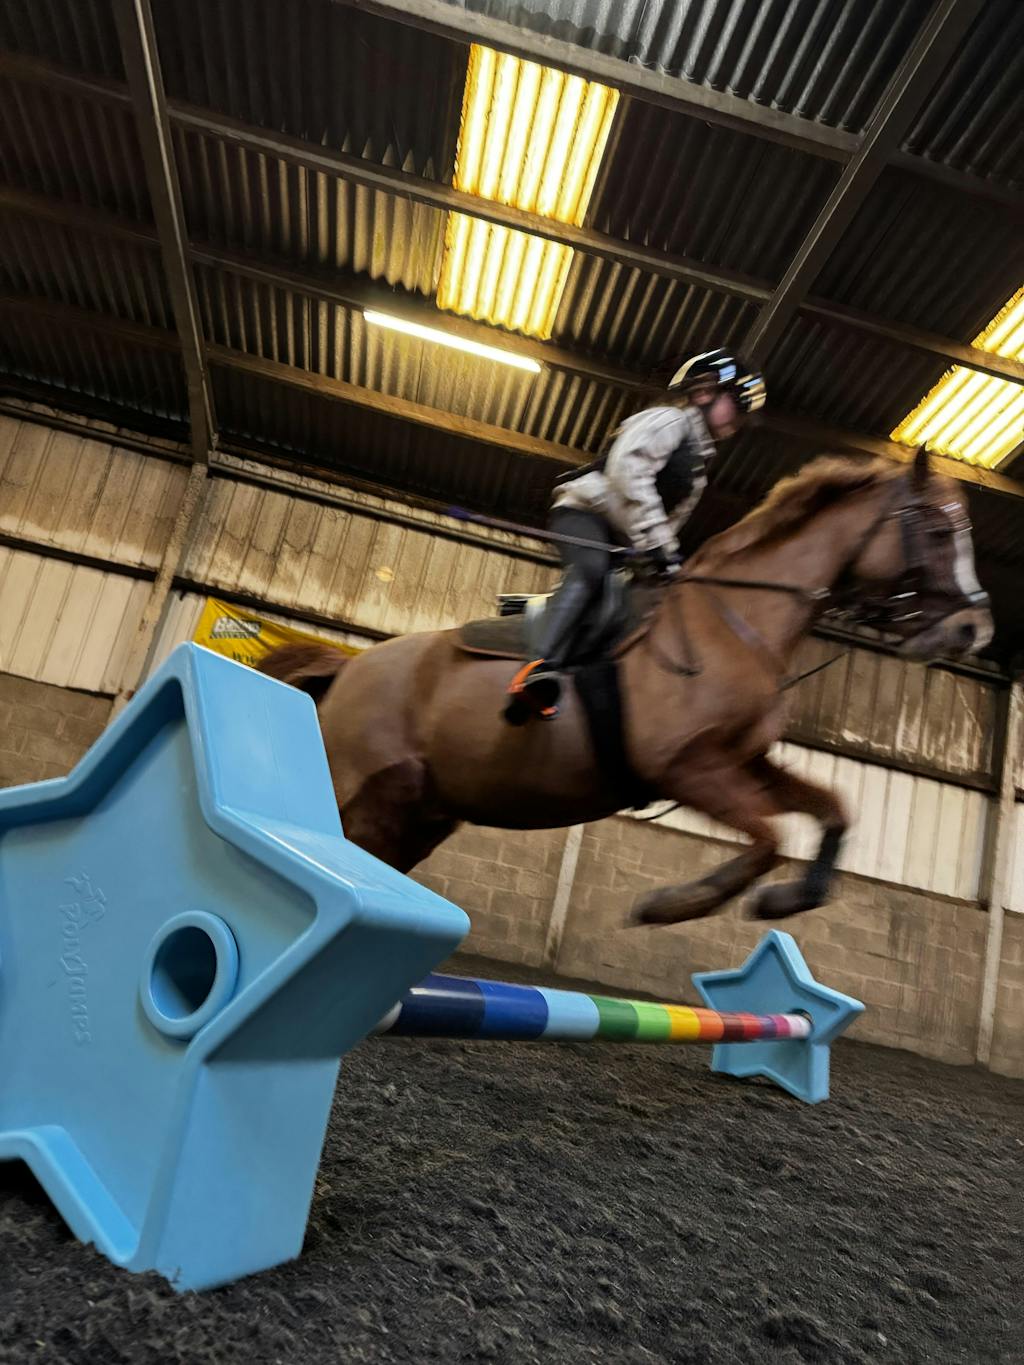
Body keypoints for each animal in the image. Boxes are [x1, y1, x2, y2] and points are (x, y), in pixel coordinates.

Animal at [259, 447, 992, 926]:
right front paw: (673, 905)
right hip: (364, 792)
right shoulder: (686, 767)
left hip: (420, 812)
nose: (972, 630)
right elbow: (766, 838)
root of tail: (350, 665)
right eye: (937, 529)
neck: (738, 621)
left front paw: (786, 901)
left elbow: (832, 808)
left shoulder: (743, 760)